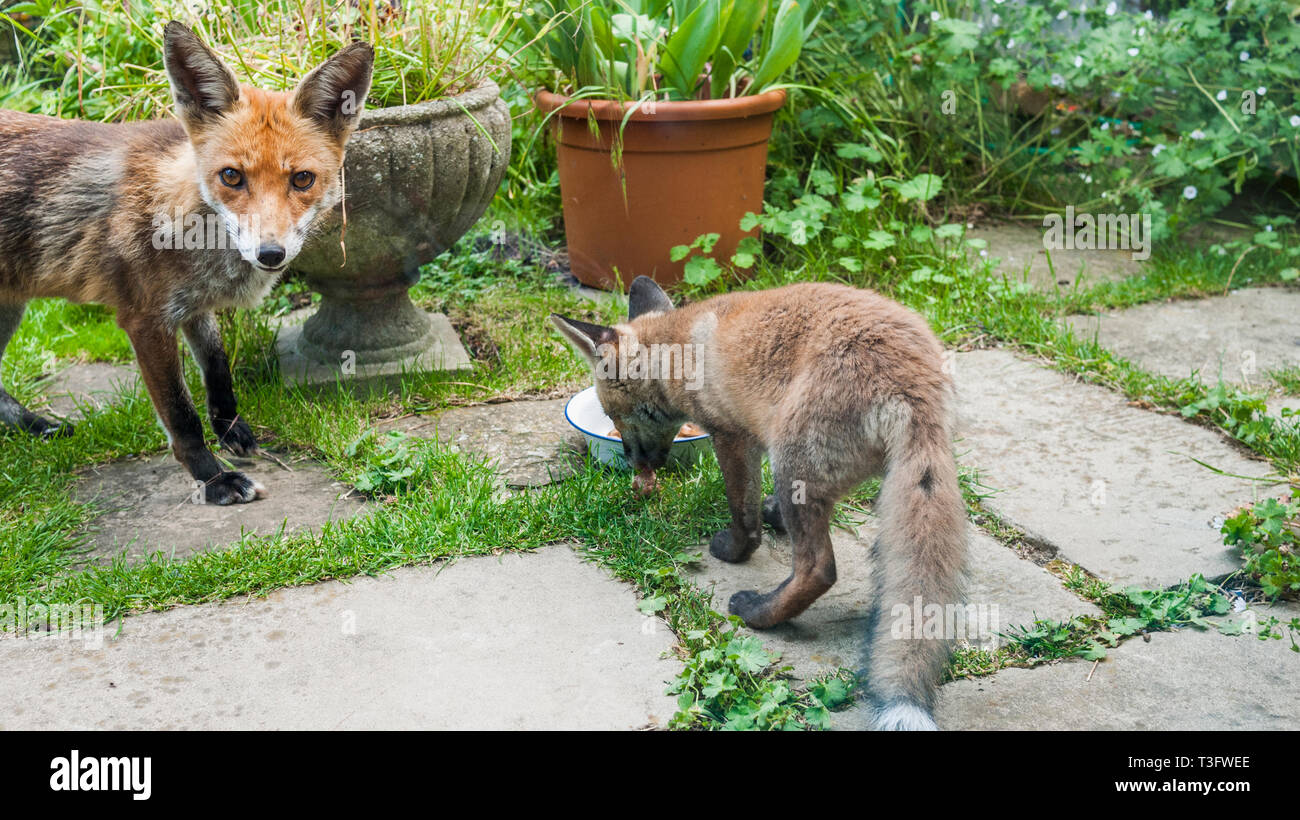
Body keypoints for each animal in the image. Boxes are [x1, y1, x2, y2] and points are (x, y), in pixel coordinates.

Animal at [0, 22, 373, 503]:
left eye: (302, 179)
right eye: (231, 176)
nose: (270, 254)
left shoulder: (195, 306)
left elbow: (217, 369)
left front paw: (232, 431)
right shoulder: (144, 320)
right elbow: (181, 414)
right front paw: (213, 480)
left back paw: (36, 425)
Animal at [552, 276, 968, 730]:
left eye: (613, 412)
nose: (634, 462)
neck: (680, 348)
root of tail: (914, 385)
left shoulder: (732, 436)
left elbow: (742, 512)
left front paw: (734, 550)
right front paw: (769, 517)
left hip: (791, 460)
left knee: (818, 569)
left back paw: (758, 613)